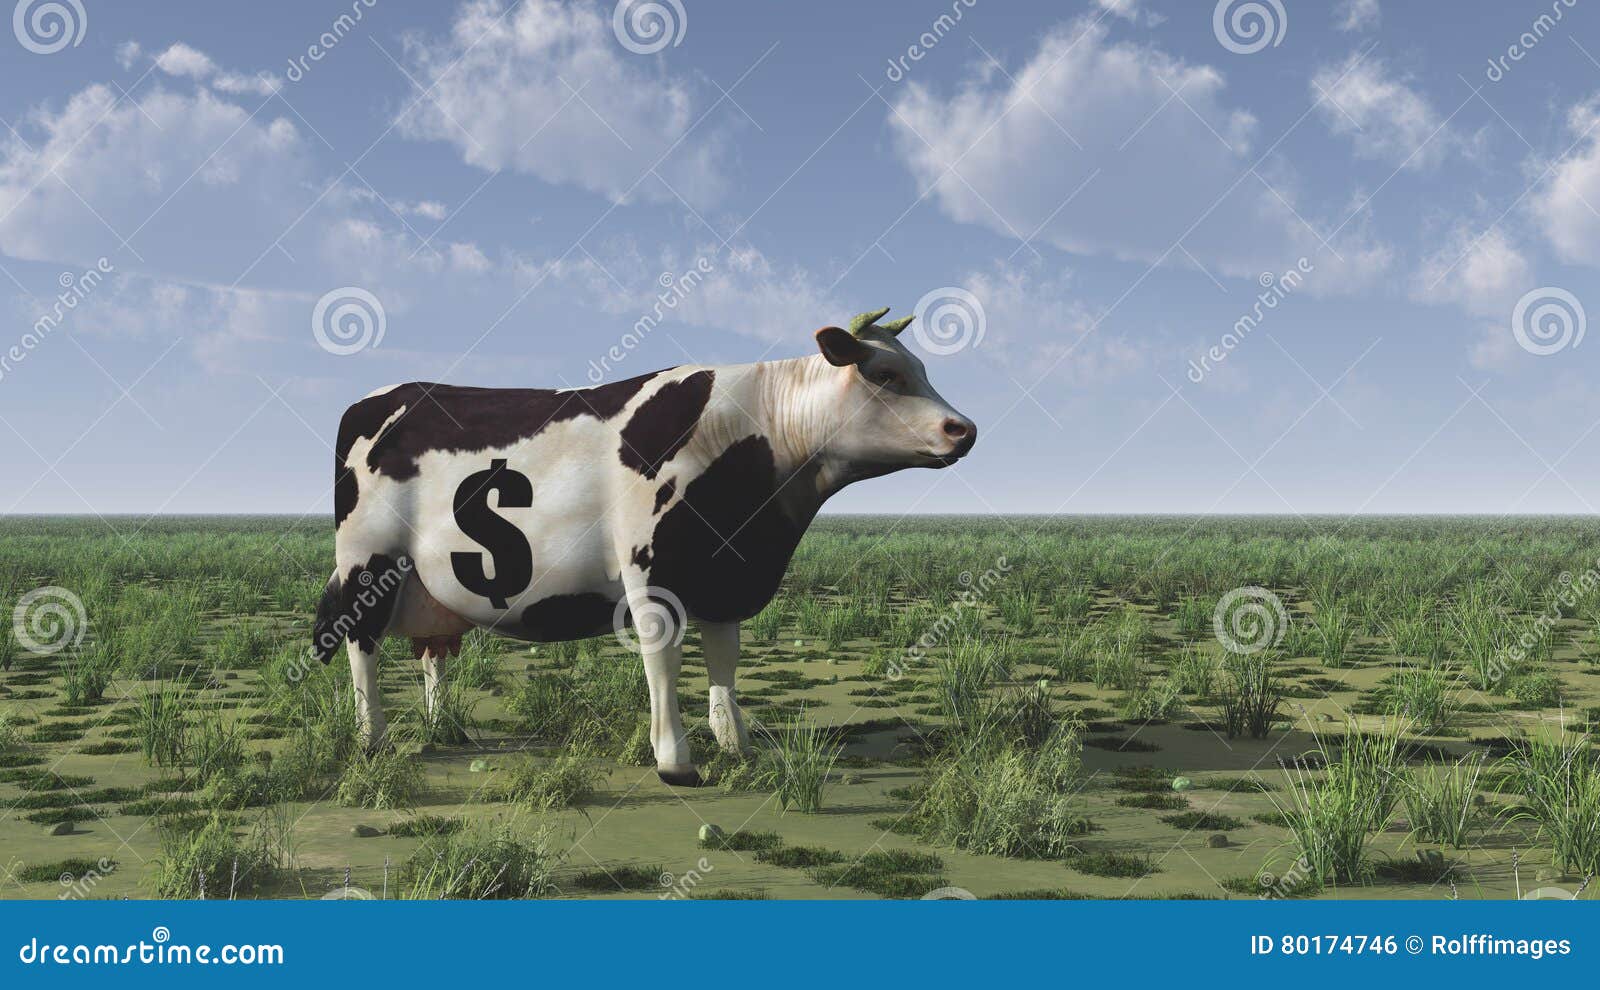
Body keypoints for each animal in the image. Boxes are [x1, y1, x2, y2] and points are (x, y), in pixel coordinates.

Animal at [310, 307, 977, 785]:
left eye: (922, 369)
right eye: (886, 375)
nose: (964, 429)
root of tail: (380, 395)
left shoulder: (725, 575)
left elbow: (725, 660)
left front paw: (735, 744)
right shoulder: (654, 570)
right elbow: (664, 659)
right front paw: (675, 760)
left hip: (429, 585)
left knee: (433, 652)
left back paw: (446, 729)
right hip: (369, 564)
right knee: (363, 644)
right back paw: (372, 739)